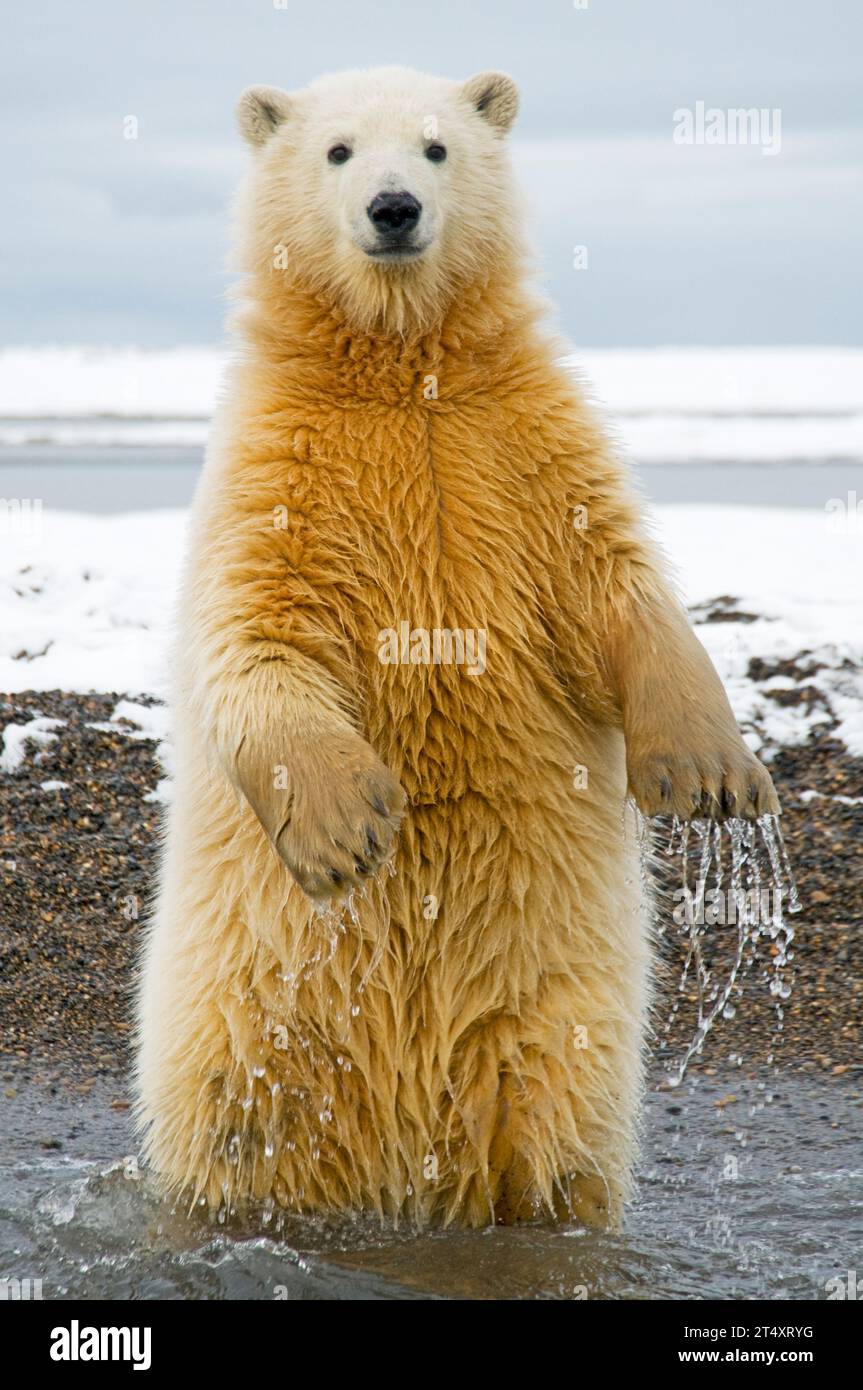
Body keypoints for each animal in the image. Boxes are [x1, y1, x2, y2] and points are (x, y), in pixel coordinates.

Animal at [134, 65, 779, 1229]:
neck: (402, 373)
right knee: (243, 1121)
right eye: (339, 150)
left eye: (437, 147)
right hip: (244, 1018)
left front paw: (709, 772)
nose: (394, 209)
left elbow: (616, 584)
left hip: (550, 1002)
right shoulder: (282, 470)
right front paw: (347, 827)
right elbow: (257, 638)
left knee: (548, 1109)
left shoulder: (522, 447)